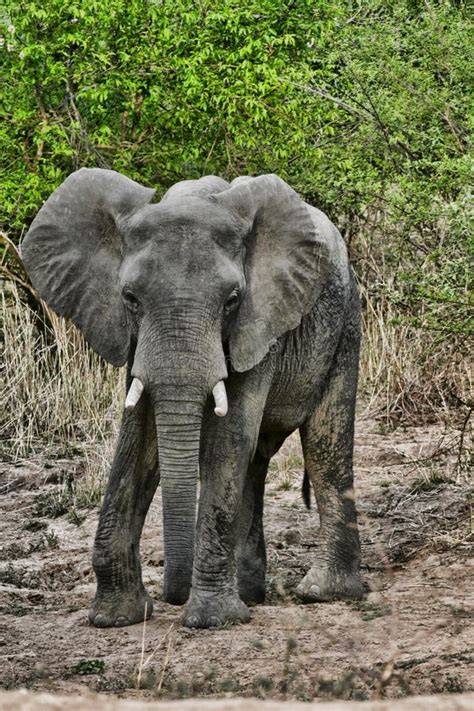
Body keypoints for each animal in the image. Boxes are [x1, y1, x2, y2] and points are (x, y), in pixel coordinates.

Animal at [21, 168, 364, 629]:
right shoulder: (135, 340)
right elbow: (140, 441)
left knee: (326, 444)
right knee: (256, 460)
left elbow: (228, 438)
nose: (173, 596)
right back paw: (251, 595)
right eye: (130, 298)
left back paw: (322, 593)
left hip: (346, 324)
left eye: (232, 300)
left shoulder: (259, 323)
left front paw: (213, 620)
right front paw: (117, 617)